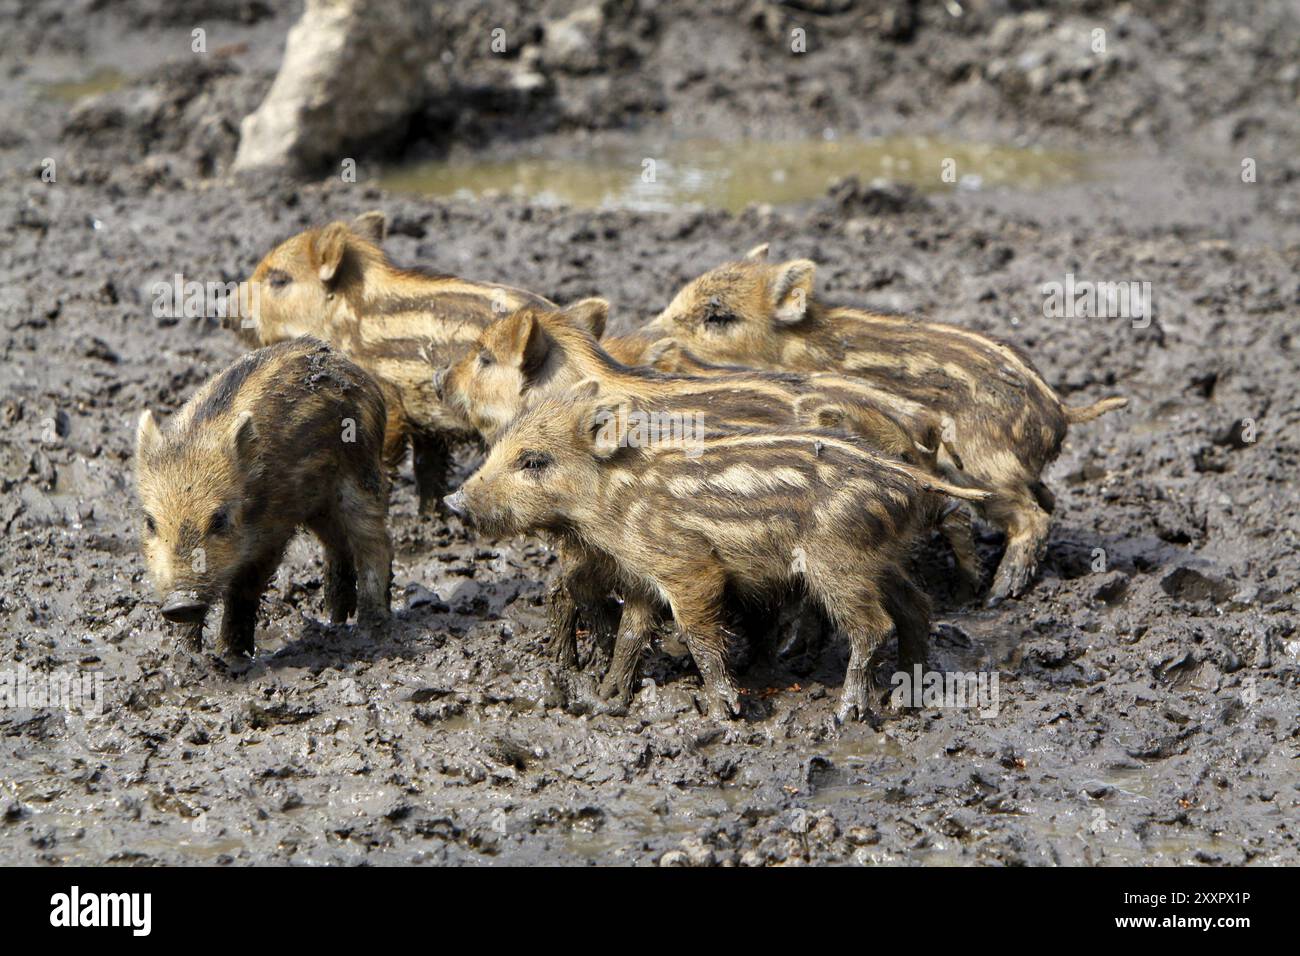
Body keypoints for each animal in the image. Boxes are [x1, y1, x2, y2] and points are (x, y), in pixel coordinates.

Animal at [135, 338, 392, 655]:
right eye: (150, 523)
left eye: (219, 520)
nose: (180, 602)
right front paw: (185, 655)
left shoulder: (273, 532)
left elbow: (243, 591)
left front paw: (229, 655)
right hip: (320, 506)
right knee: (337, 545)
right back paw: (334, 621)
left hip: (361, 476)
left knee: (375, 543)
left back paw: (371, 629)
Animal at [224, 210, 553, 513]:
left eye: (279, 279)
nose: (222, 308)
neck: (345, 319)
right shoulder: (426, 422)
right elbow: (427, 467)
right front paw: (428, 516)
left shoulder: (390, 405)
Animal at [445, 382, 991, 721]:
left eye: (534, 460)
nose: (454, 500)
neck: (615, 498)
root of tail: (910, 480)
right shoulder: (642, 579)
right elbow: (631, 635)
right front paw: (605, 699)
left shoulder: (689, 568)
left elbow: (699, 637)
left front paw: (725, 709)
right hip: (880, 559)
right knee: (916, 607)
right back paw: (906, 695)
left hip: (838, 563)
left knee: (872, 626)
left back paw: (848, 712)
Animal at [643, 245, 1128, 601]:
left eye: (718, 316)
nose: (645, 336)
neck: (790, 347)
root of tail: (1060, 412)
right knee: (1047, 502)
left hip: (986, 469)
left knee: (1032, 518)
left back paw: (998, 593)